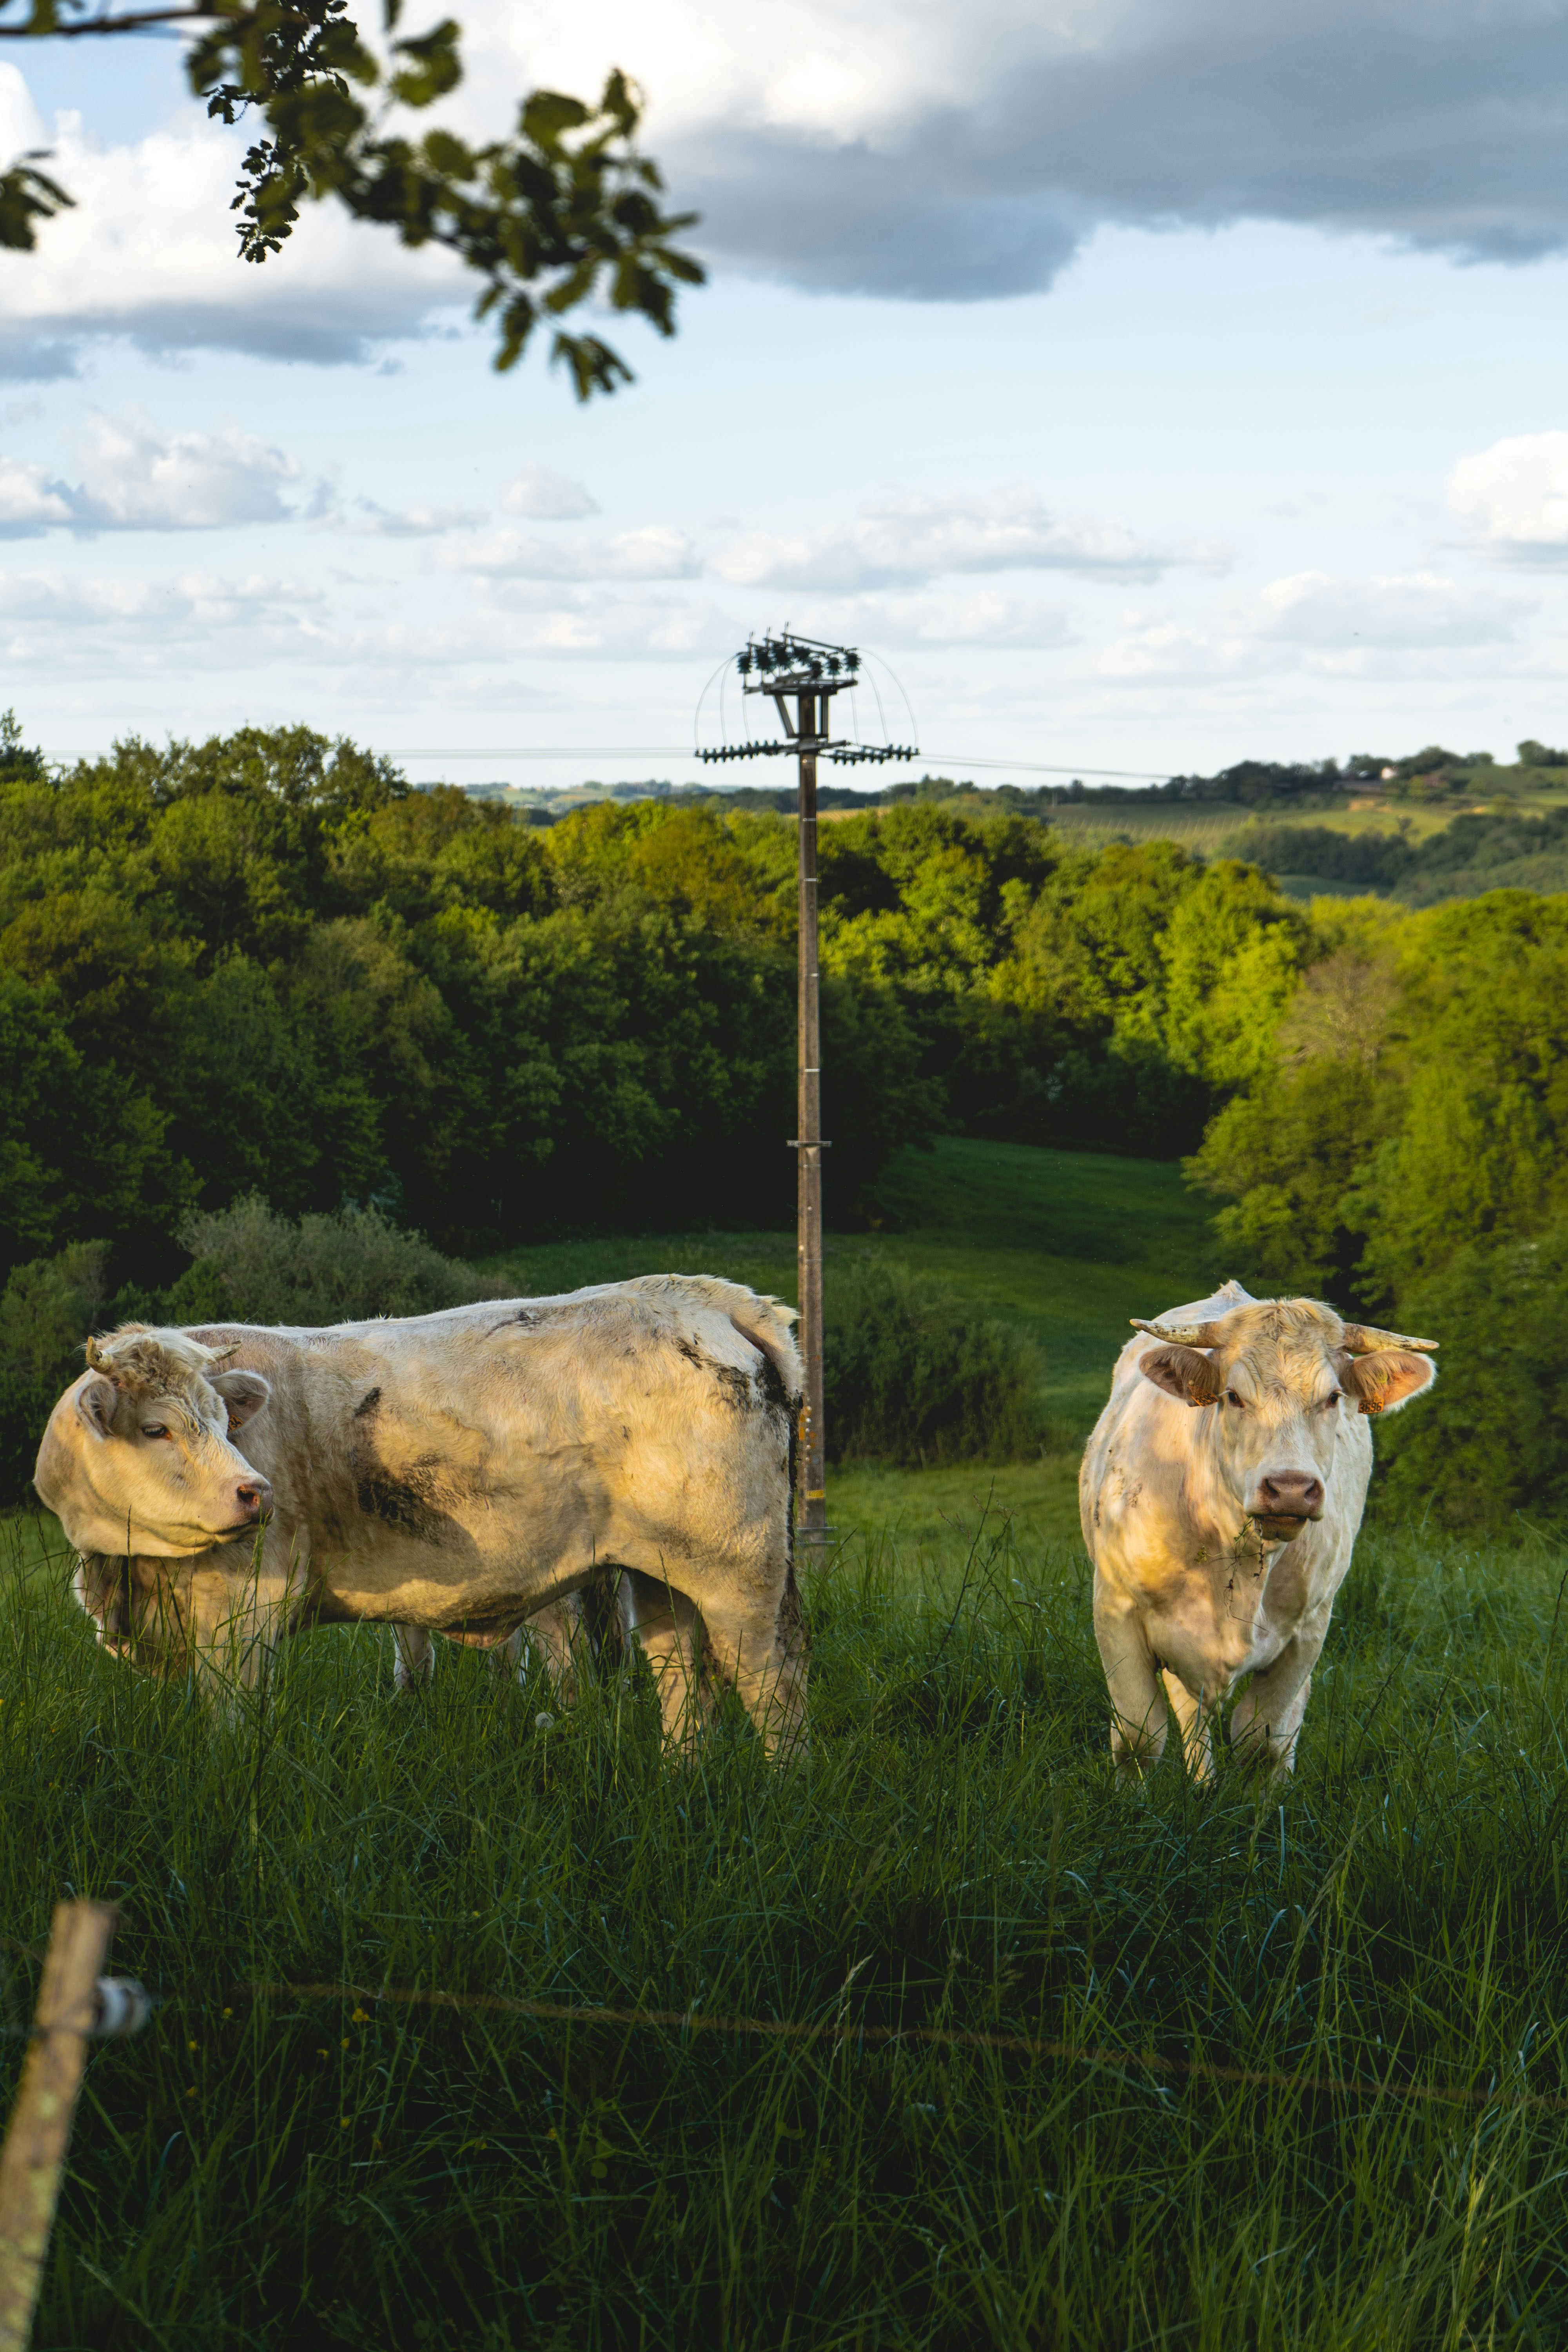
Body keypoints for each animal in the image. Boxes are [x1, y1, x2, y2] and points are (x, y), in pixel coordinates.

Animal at [34, 1275, 807, 1758]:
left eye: (225, 1423)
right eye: (157, 1429)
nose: (255, 1493)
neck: (125, 1575)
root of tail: (697, 1294)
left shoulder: (244, 1611)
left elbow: (231, 1721)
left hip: (743, 1571)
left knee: (773, 1687)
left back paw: (782, 1795)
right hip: (659, 1573)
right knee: (680, 1679)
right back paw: (683, 1780)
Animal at [1080, 1281, 1437, 1780]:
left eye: (1332, 1398)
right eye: (1232, 1396)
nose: (1290, 1489)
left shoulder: (1308, 1631)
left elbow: (1262, 1742)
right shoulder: (1115, 1611)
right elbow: (1139, 1738)